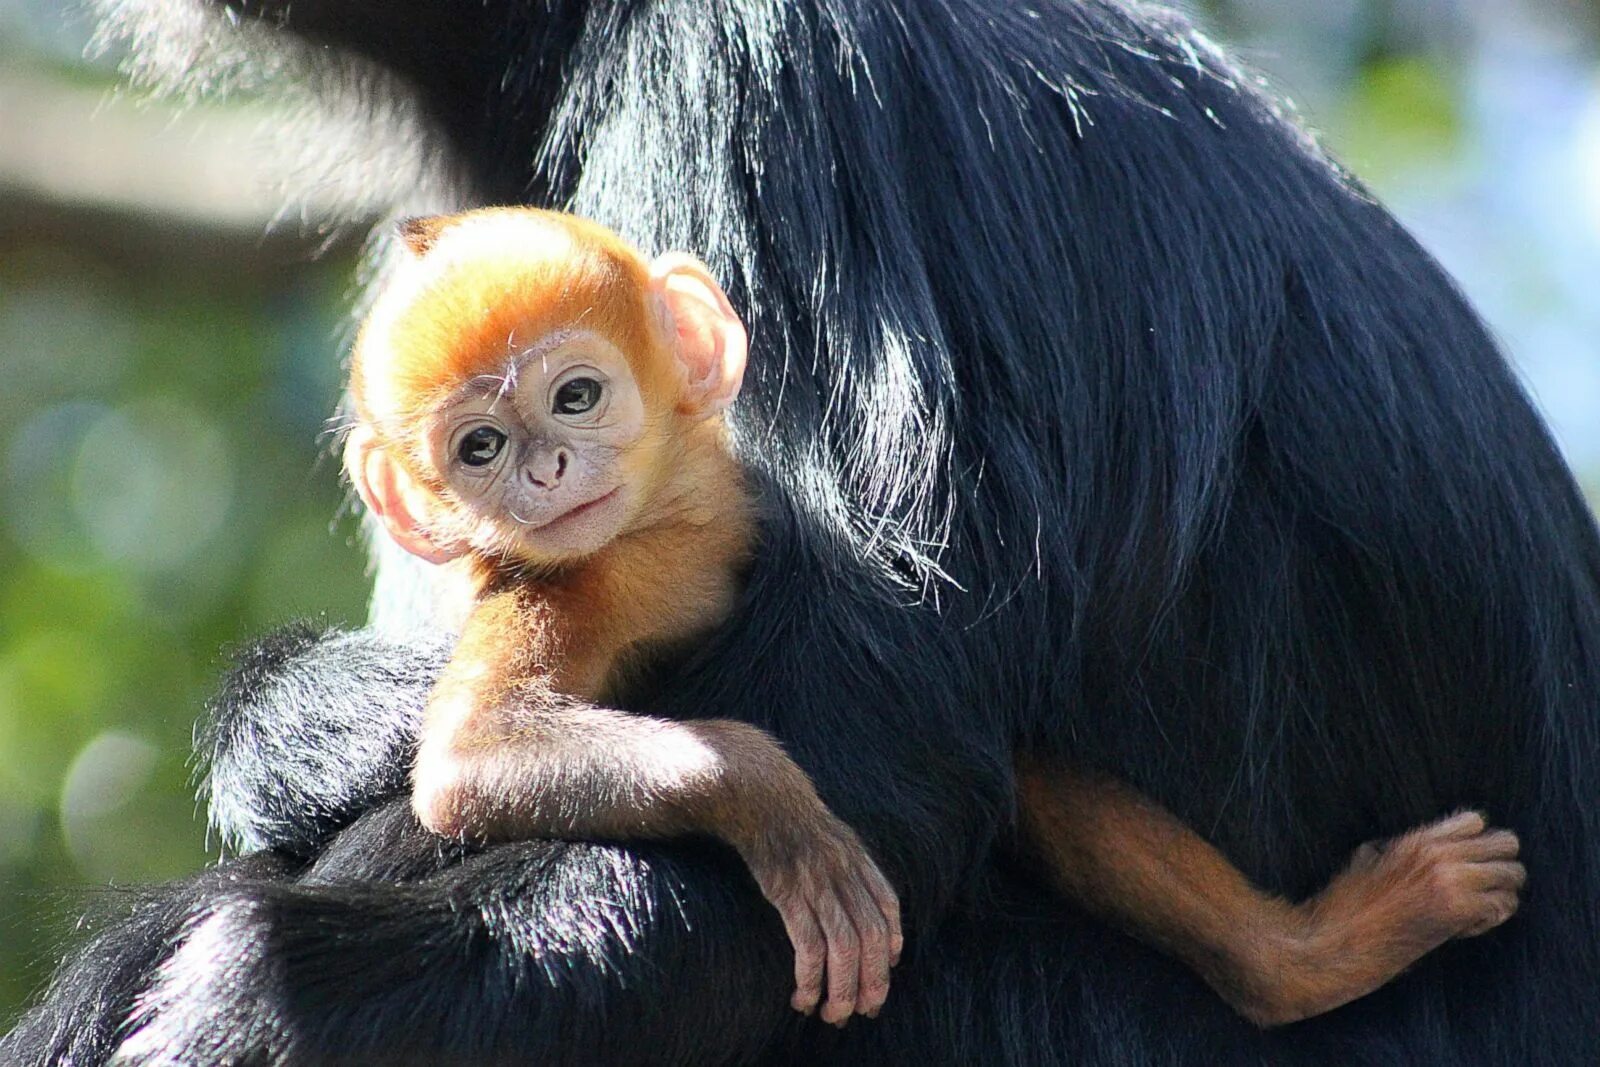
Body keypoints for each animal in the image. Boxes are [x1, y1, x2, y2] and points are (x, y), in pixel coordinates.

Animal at [347, 204, 1523, 1030]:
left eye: (575, 397)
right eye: (478, 448)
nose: (542, 470)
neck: (668, 533)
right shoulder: (570, 584)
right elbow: (468, 762)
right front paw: (781, 812)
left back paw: (1304, 963)